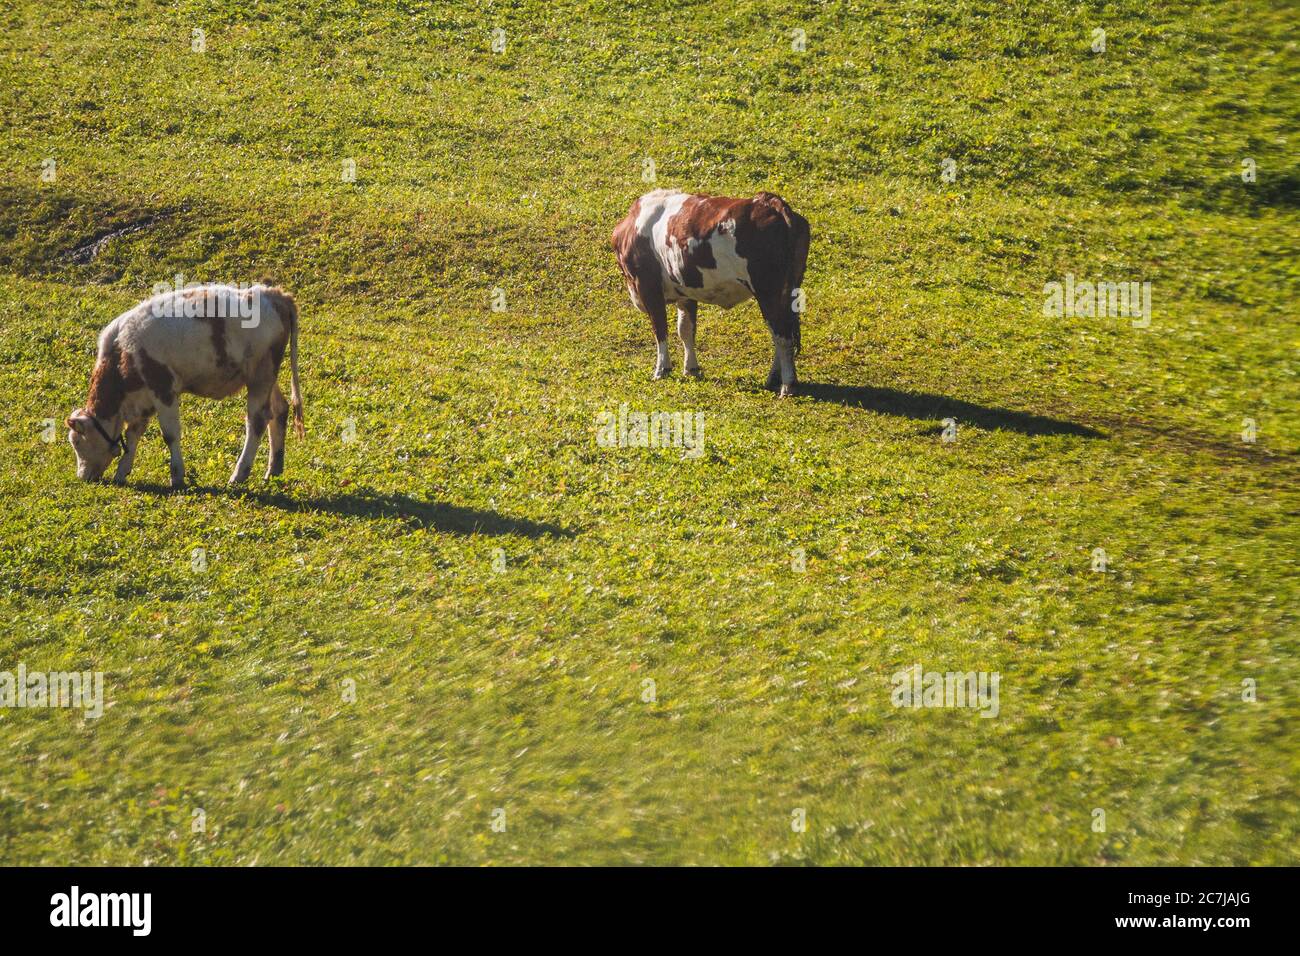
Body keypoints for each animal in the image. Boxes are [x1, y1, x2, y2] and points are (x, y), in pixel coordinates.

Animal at [66, 283, 304, 489]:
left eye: (76, 442)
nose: (82, 476)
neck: (122, 352)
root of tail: (272, 294)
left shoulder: (163, 388)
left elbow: (170, 434)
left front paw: (177, 476)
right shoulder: (145, 397)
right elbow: (134, 433)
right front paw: (122, 472)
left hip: (260, 377)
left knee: (257, 420)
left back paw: (239, 474)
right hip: (266, 377)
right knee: (279, 410)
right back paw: (273, 470)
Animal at [612, 189, 810, 396]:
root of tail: (770, 202)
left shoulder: (648, 286)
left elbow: (660, 330)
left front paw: (662, 370)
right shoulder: (686, 291)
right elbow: (686, 330)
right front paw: (691, 369)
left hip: (768, 291)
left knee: (782, 336)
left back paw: (787, 386)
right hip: (788, 290)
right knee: (782, 332)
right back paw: (773, 379)